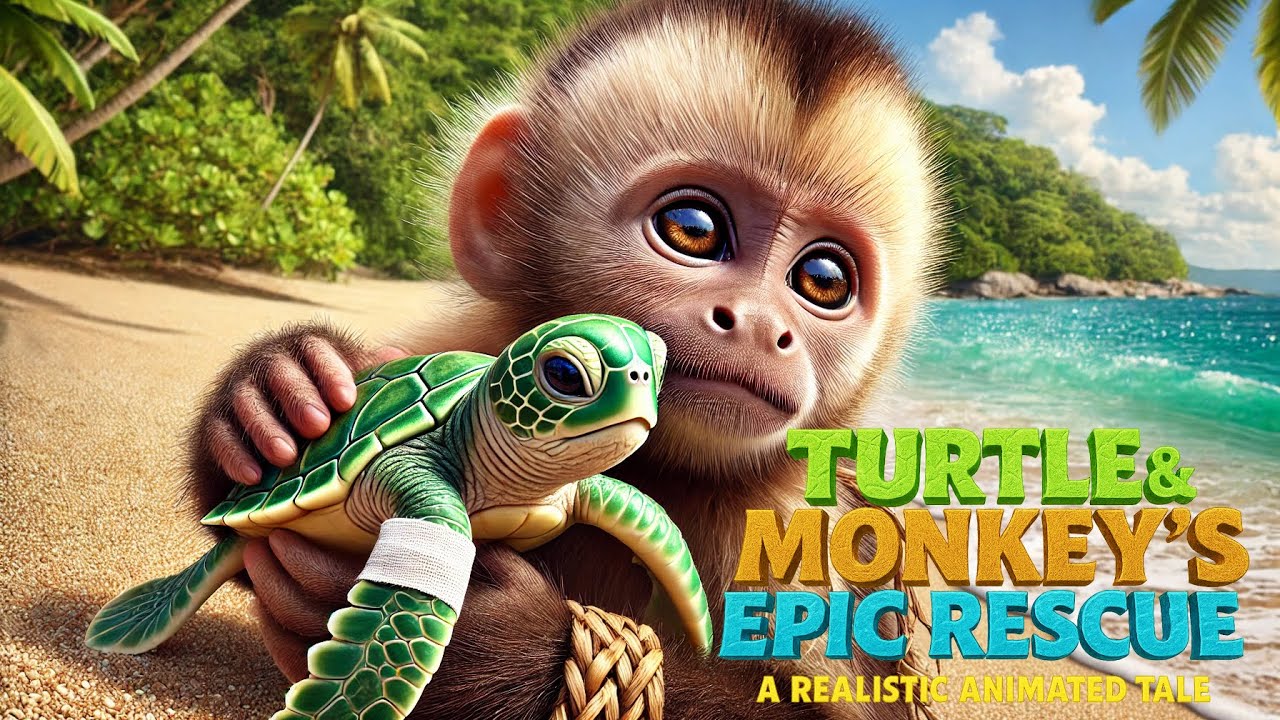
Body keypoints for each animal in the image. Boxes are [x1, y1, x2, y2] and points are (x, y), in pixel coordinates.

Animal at [188, 1, 945, 717]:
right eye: (693, 230)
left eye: (823, 279)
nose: (759, 324)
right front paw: (276, 389)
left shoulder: (812, 527)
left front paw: (497, 644)